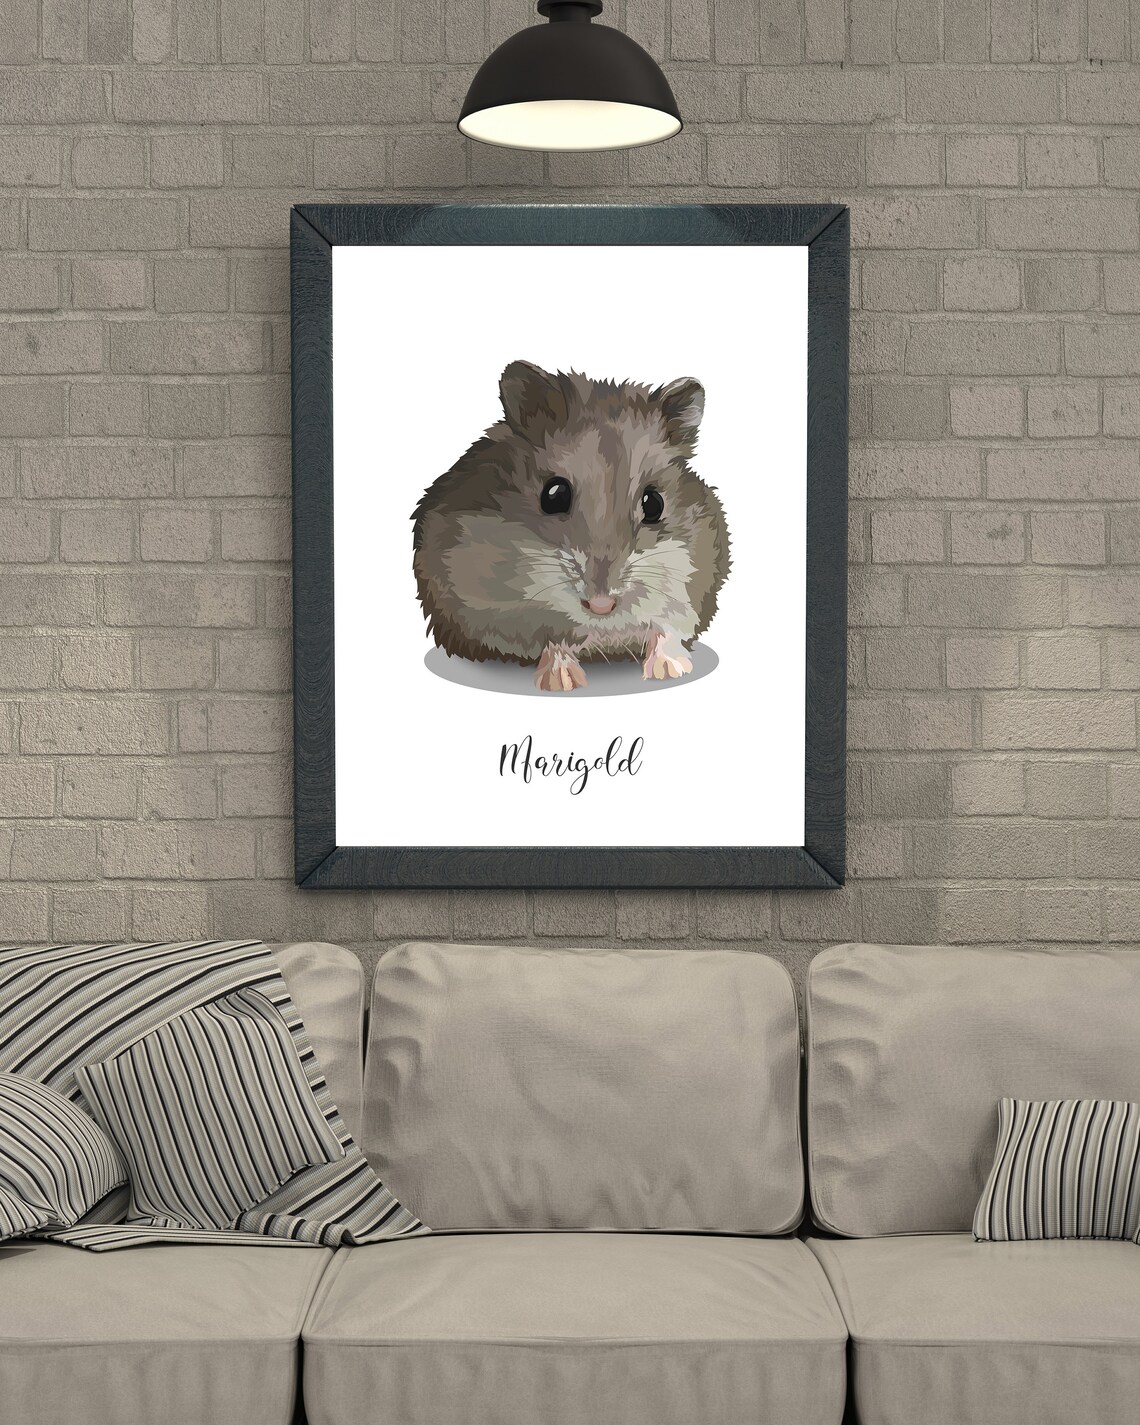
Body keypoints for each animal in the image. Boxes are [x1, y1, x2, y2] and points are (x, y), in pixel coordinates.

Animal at [412, 360, 731, 692]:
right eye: (554, 495)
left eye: (654, 503)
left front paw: (671, 671)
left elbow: (667, 626)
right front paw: (562, 682)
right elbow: (553, 638)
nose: (601, 605)